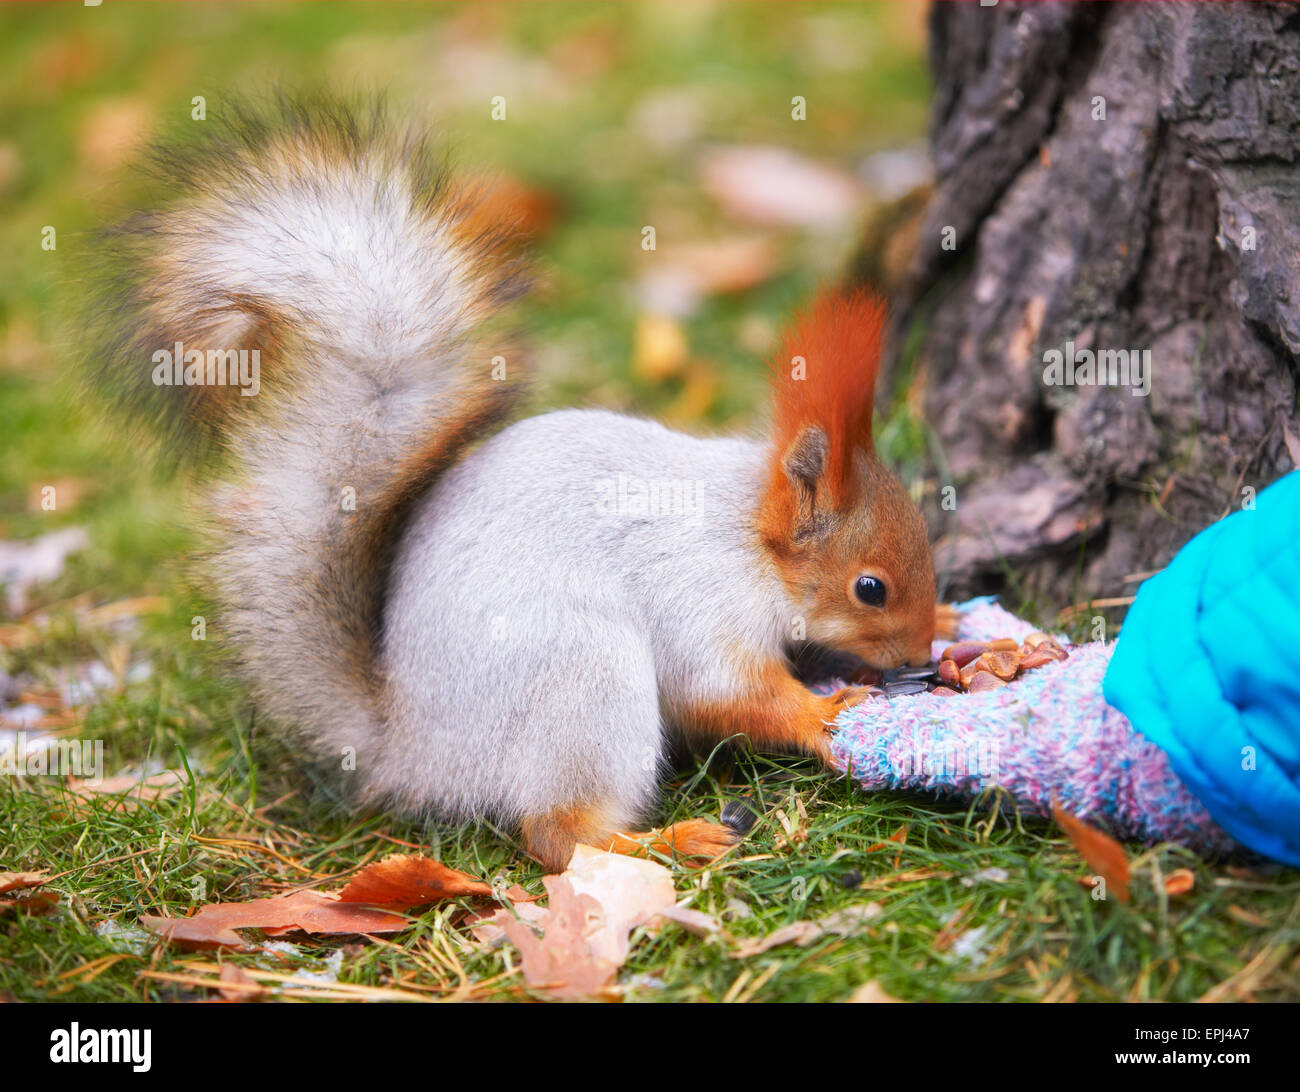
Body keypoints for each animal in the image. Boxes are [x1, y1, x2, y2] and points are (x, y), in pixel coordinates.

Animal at [92, 99, 939, 872]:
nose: (922, 651)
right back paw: (666, 842)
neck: (745, 534)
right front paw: (820, 713)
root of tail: (412, 753)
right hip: (584, 680)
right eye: (870, 588)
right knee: (558, 836)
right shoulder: (699, 598)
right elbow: (726, 692)